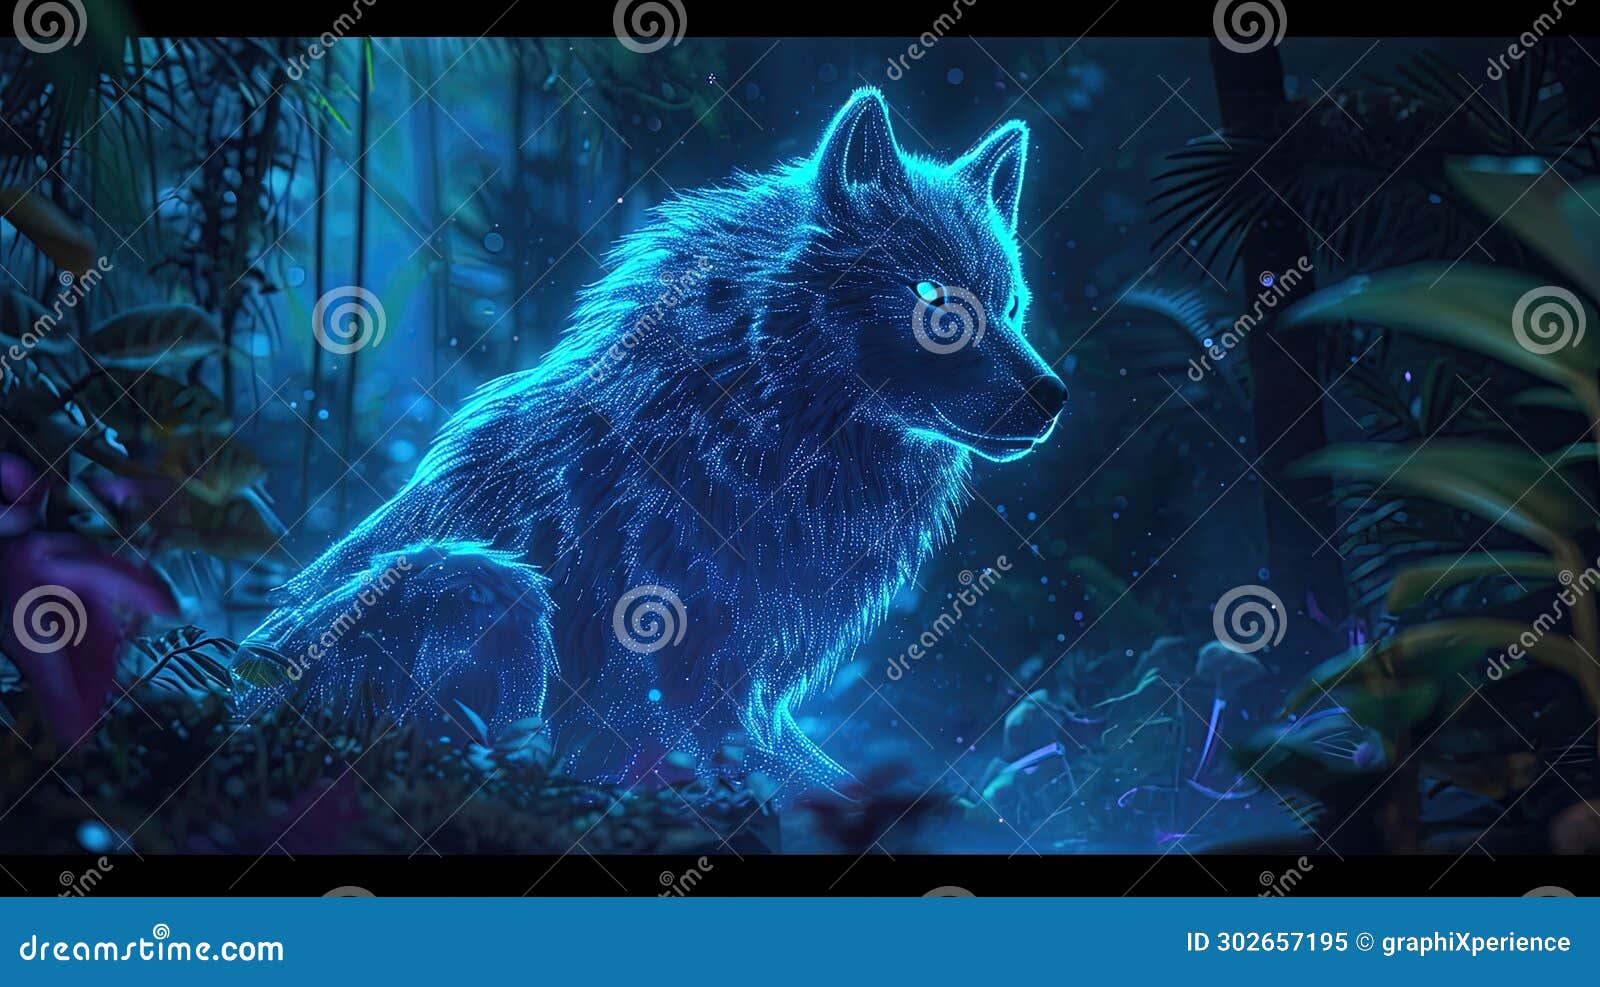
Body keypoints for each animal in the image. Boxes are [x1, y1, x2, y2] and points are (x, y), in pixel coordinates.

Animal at [240, 88, 1066, 791]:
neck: (745, 429)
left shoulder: (751, 694)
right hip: (488, 588)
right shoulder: (676, 687)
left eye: (1011, 305)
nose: (1053, 396)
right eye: (933, 297)